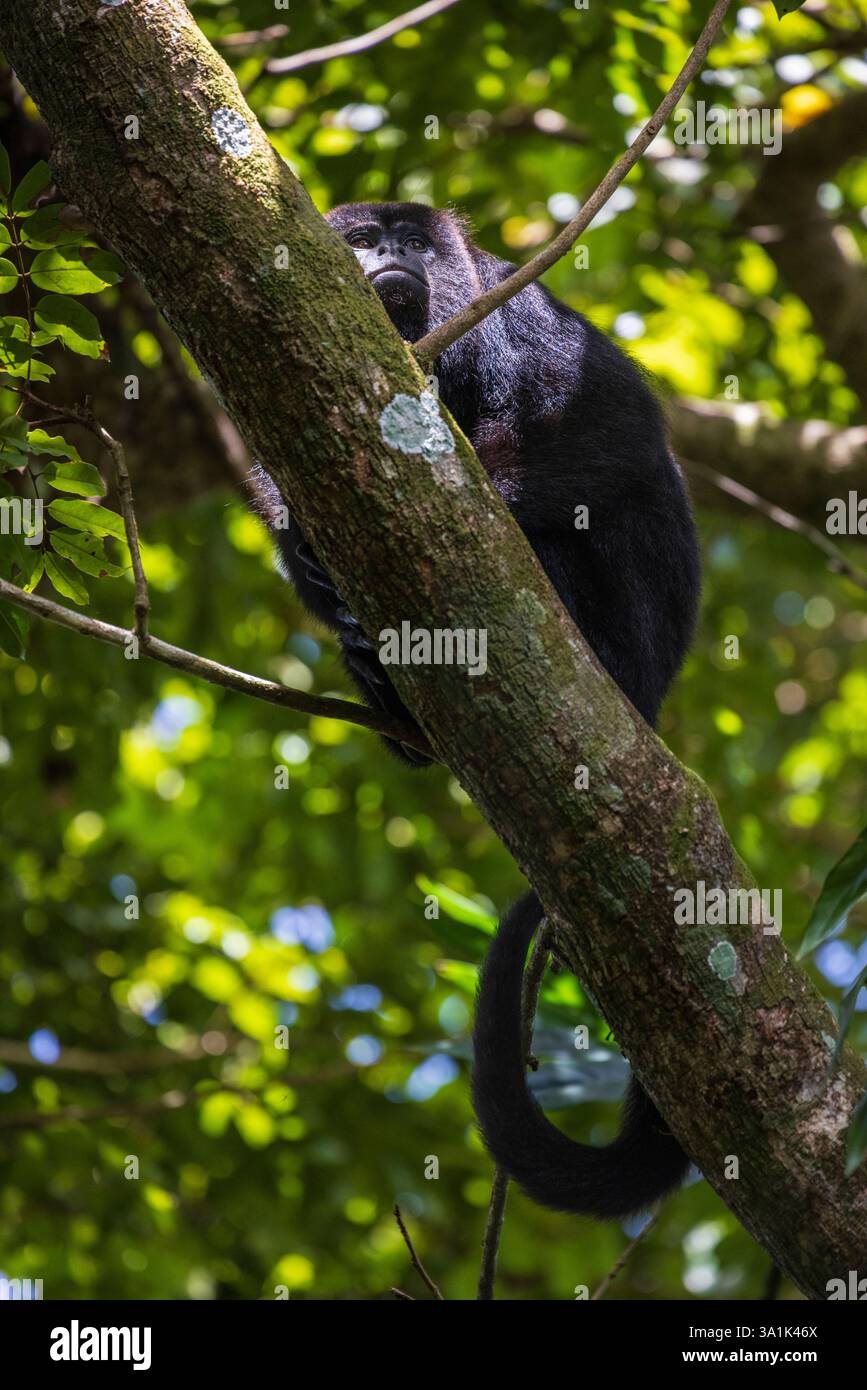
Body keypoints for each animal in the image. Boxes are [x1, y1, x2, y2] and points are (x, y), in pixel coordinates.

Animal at [254, 202, 700, 1220]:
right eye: (357, 241)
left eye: (410, 240)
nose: (386, 254)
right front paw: (313, 560)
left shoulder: (518, 309)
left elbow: (607, 425)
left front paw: (485, 491)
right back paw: (378, 672)